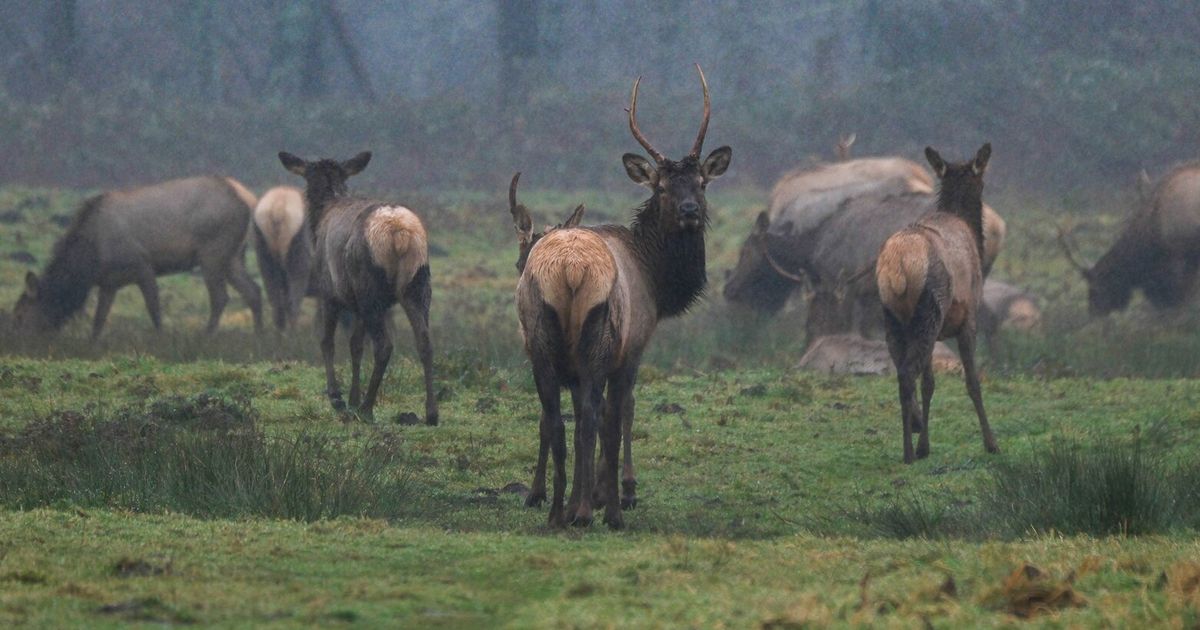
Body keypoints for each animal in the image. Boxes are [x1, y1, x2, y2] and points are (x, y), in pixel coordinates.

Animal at [278, 151, 438, 425]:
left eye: (307, 180)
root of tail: (400, 234)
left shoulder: (328, 292)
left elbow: (327, 341)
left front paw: (338, 398)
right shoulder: (355, 303)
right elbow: (355, 345)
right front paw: (352, 397)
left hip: (370, 289)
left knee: (384, 345)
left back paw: (367, 408)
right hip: (416, 285)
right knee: (425, 341)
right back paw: (431, 412)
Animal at [513, 65, 731, 528]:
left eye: (702, 183)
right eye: (661, 187)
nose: (690, 211)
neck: (656, 279)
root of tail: (570, 270)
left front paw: (582, 497)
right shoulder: (632, 349)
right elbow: (620, 415)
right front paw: (614, 496)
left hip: (539, 340)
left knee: (556, 420)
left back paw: (557, 511)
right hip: (601, 338)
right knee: (596, 419)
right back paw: (596, 513)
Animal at [875, 144, 1000, 464]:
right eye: (982, 182)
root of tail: (899, 267)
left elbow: (930, 383)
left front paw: (926, 444)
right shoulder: (969, 318)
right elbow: (972, 382)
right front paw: (991, 443)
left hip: (894, 316)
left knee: (903, 371)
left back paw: (915, 430)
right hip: (931, 308)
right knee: (908, 373)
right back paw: (908, 451)